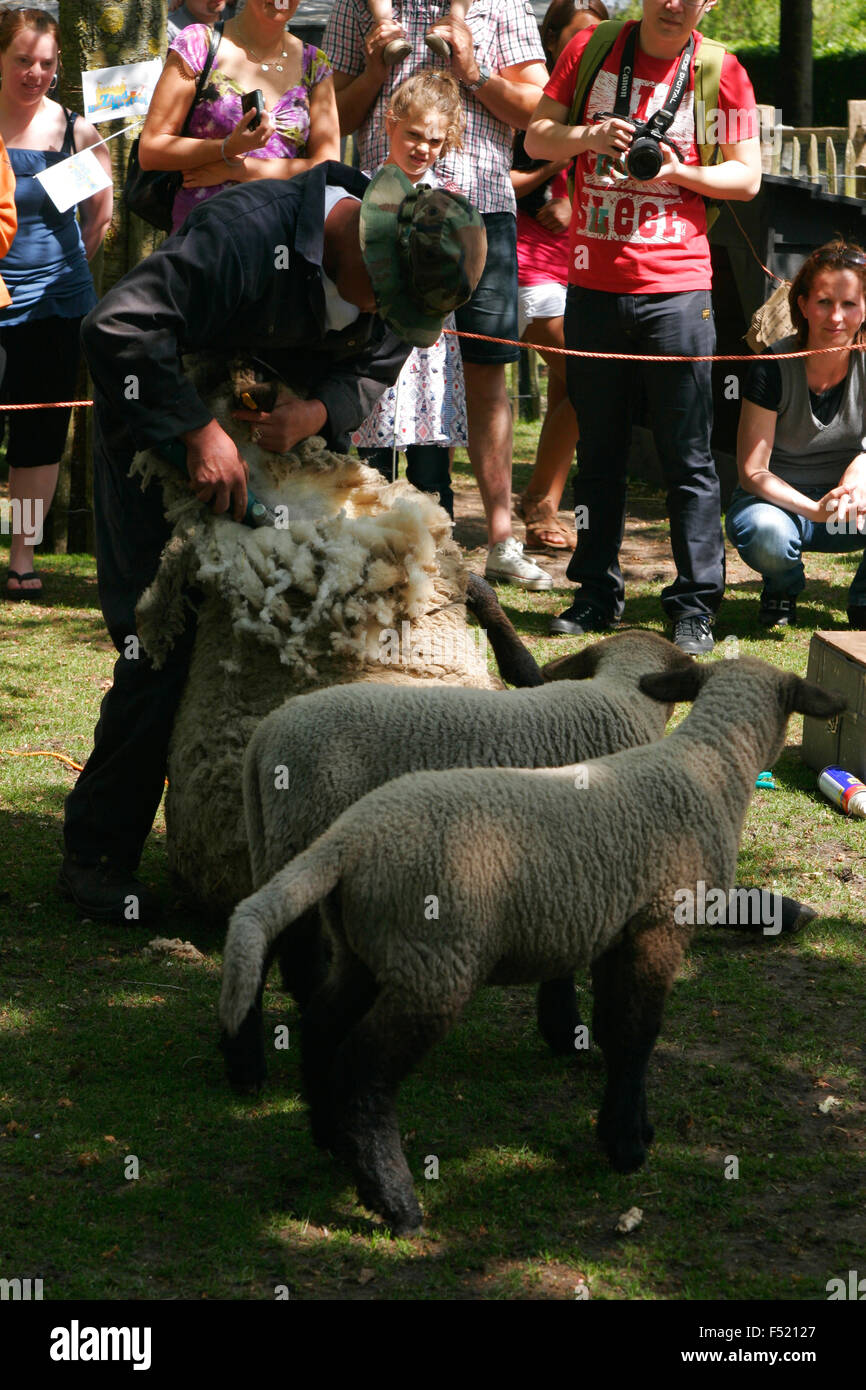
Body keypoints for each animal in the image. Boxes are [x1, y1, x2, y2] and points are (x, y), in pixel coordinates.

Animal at [220, 655, 845, 1234]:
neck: (706, 768)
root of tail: (348, 840)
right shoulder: (657, 928)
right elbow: (636, 1036)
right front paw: (625, 1147)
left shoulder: (619, 934)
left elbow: (617, 1031)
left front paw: (631, 1126)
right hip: (432, 963)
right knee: (362, 1070)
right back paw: (395, 1203)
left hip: (370, 952)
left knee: (323, 1023)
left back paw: (330, 1138)